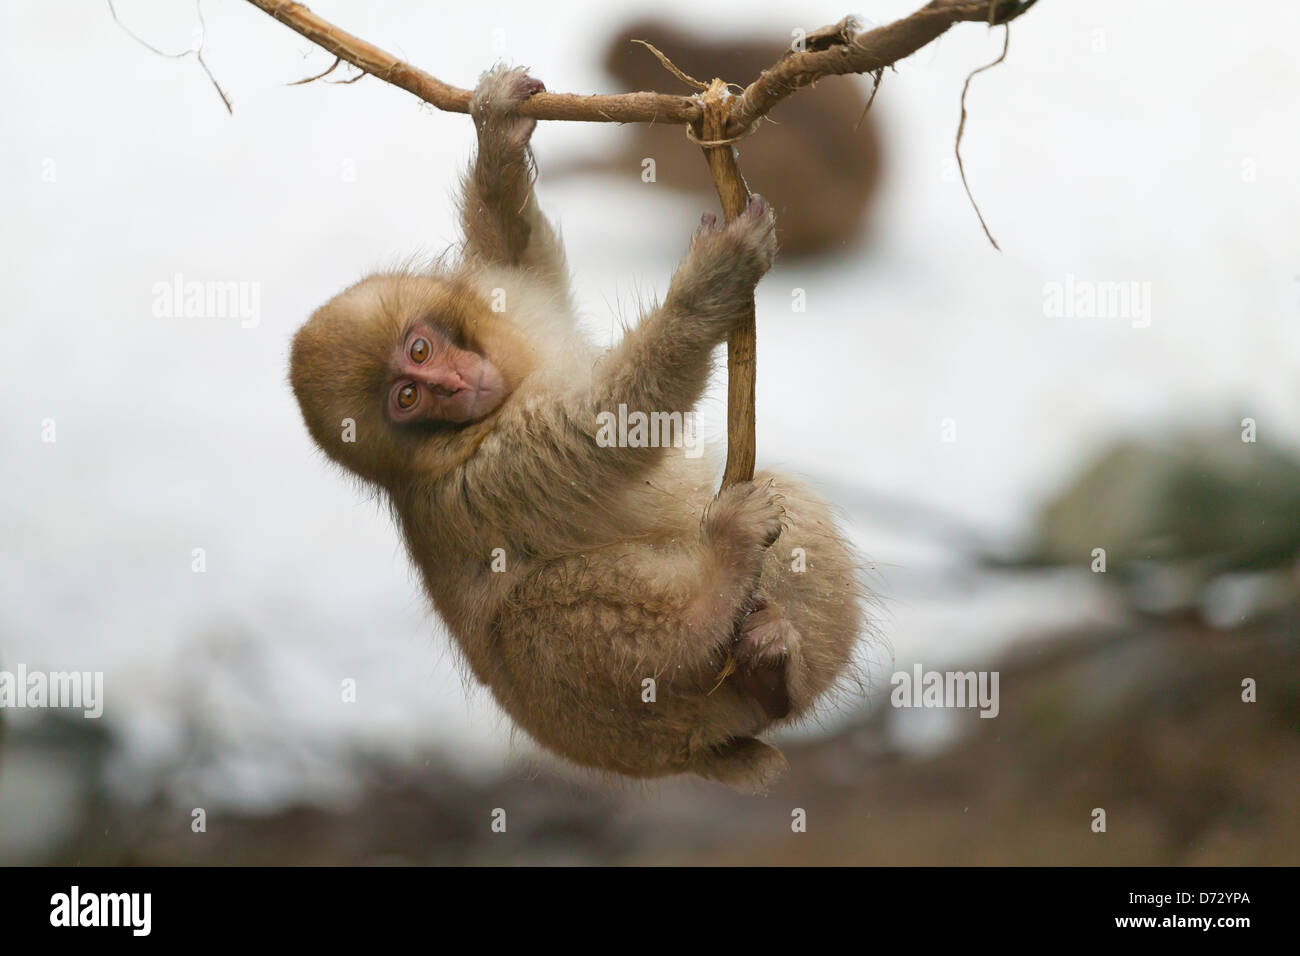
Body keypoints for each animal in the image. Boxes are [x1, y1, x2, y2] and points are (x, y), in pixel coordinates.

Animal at [289, 66, 866, 792]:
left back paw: (773, 675)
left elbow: (520, 253)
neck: (494, 409)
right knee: (536, 612)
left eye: (418, 351)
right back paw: (720, 579)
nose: (454, 385)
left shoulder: (515, 308)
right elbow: (612, 430)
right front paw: (708, 289)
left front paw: (498, 136)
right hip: (601, 720)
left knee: (791, 511)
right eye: (408, 399)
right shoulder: (499, 468)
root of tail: (694, 755)